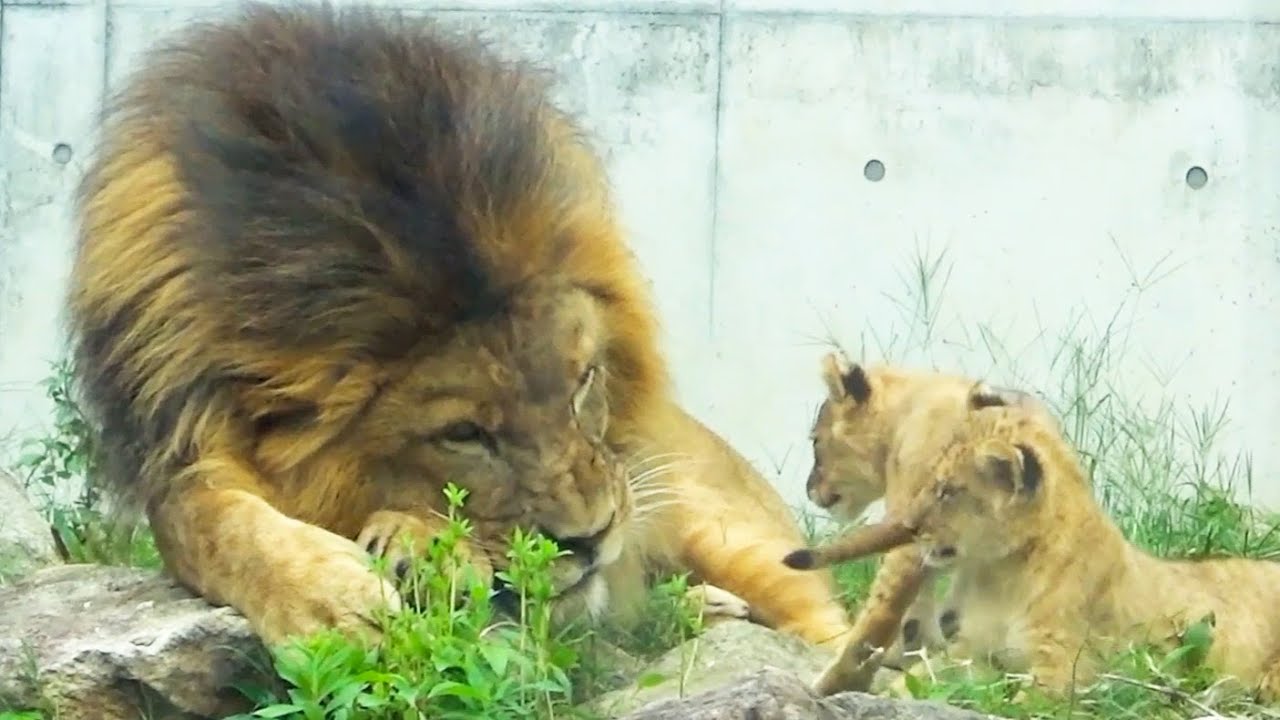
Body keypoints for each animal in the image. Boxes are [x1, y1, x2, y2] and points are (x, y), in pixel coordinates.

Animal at [65, 2, 852, 651]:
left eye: (583, 383)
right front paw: (330, 602)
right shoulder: (183, 438)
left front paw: (421, 544)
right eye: (464, 433)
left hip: (716, 521)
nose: (592, 539)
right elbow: (199, 521)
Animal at [803, 402, 1280, 701]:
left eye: (948, 491)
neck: (998, 573)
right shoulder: (972, 649)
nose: (912, 529)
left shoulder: (1064, 671)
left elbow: (1020, 701)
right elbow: (925, 676)